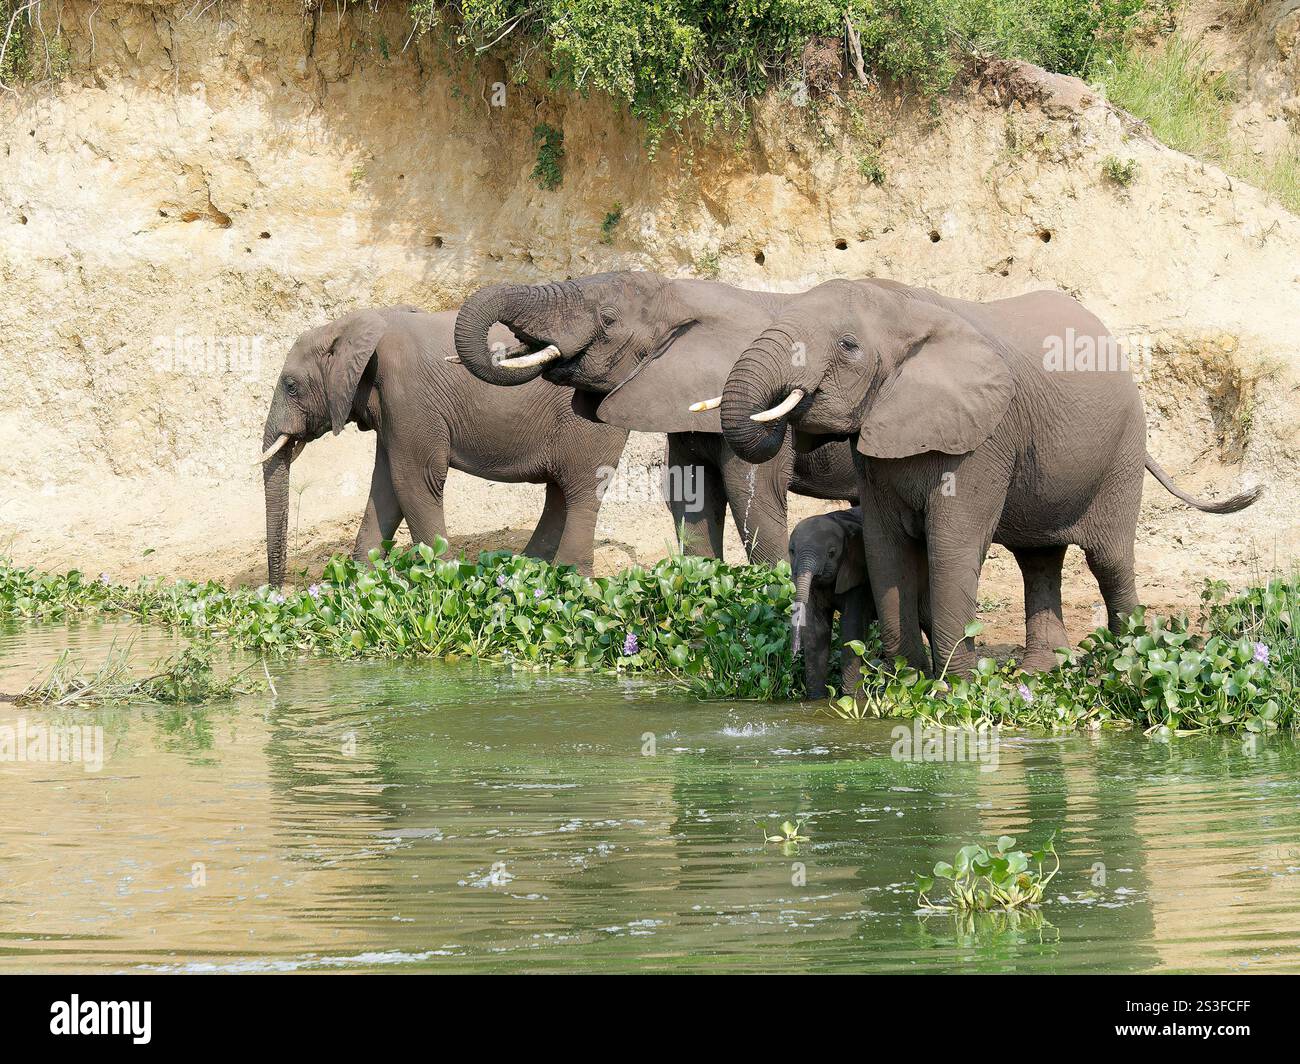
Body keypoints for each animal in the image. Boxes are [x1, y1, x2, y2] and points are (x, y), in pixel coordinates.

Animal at [258, 306, 629, 585]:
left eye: (291, 386)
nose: (277, 590)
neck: (351, 325)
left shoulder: (409, 398)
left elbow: (414, 480)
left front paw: (446, 579)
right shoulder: (393, 411)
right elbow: (387, 486)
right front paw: (362, 581)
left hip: (588, 421)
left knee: (581, 491)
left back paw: (569, 580)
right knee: (559, 492)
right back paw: (526, 569)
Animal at [715, 277, 1262, 675]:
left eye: (848, 345)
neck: (904, 306)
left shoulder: (984, 438)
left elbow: (952, 545)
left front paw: (956, 688)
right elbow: (885, 546)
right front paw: (907, 684)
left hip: (1124, 447)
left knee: (1108, 560)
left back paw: (1131, 661)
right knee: (1038, 561)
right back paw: (1041, 672)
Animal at [789, 507, 873, 700]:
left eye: (831, 553)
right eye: (792, 551)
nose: (794, 653)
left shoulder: (858, 576)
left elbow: (851, 626)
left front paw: (852, 699)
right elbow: (817, 629)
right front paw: (816, 699)